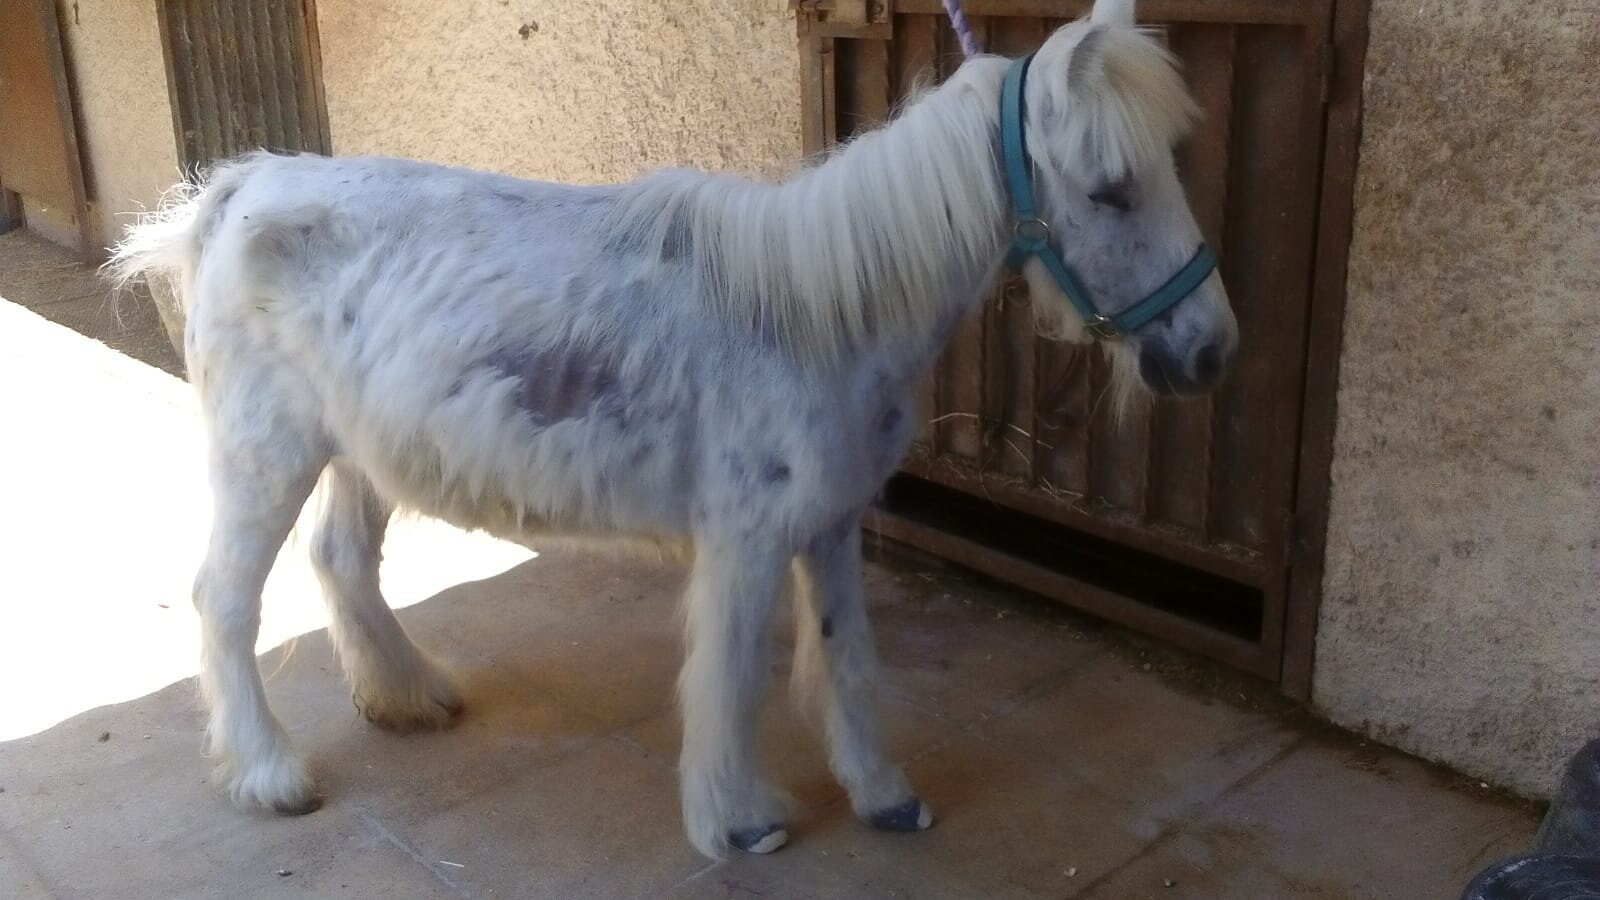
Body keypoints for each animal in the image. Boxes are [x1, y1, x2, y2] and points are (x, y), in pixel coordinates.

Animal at [107, 0, 1236, 859]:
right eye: (1109, 189)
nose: (1210, 353)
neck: (820, 315)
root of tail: (238, 188)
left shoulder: (829, 527)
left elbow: (849, 661)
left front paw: (883, 797)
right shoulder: (747, 540)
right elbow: (730, 680)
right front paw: (740, 824)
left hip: (356, 451)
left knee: (341, 561)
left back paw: (408, 696)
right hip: (266, 454)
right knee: (226, 600)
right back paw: (268, 773)